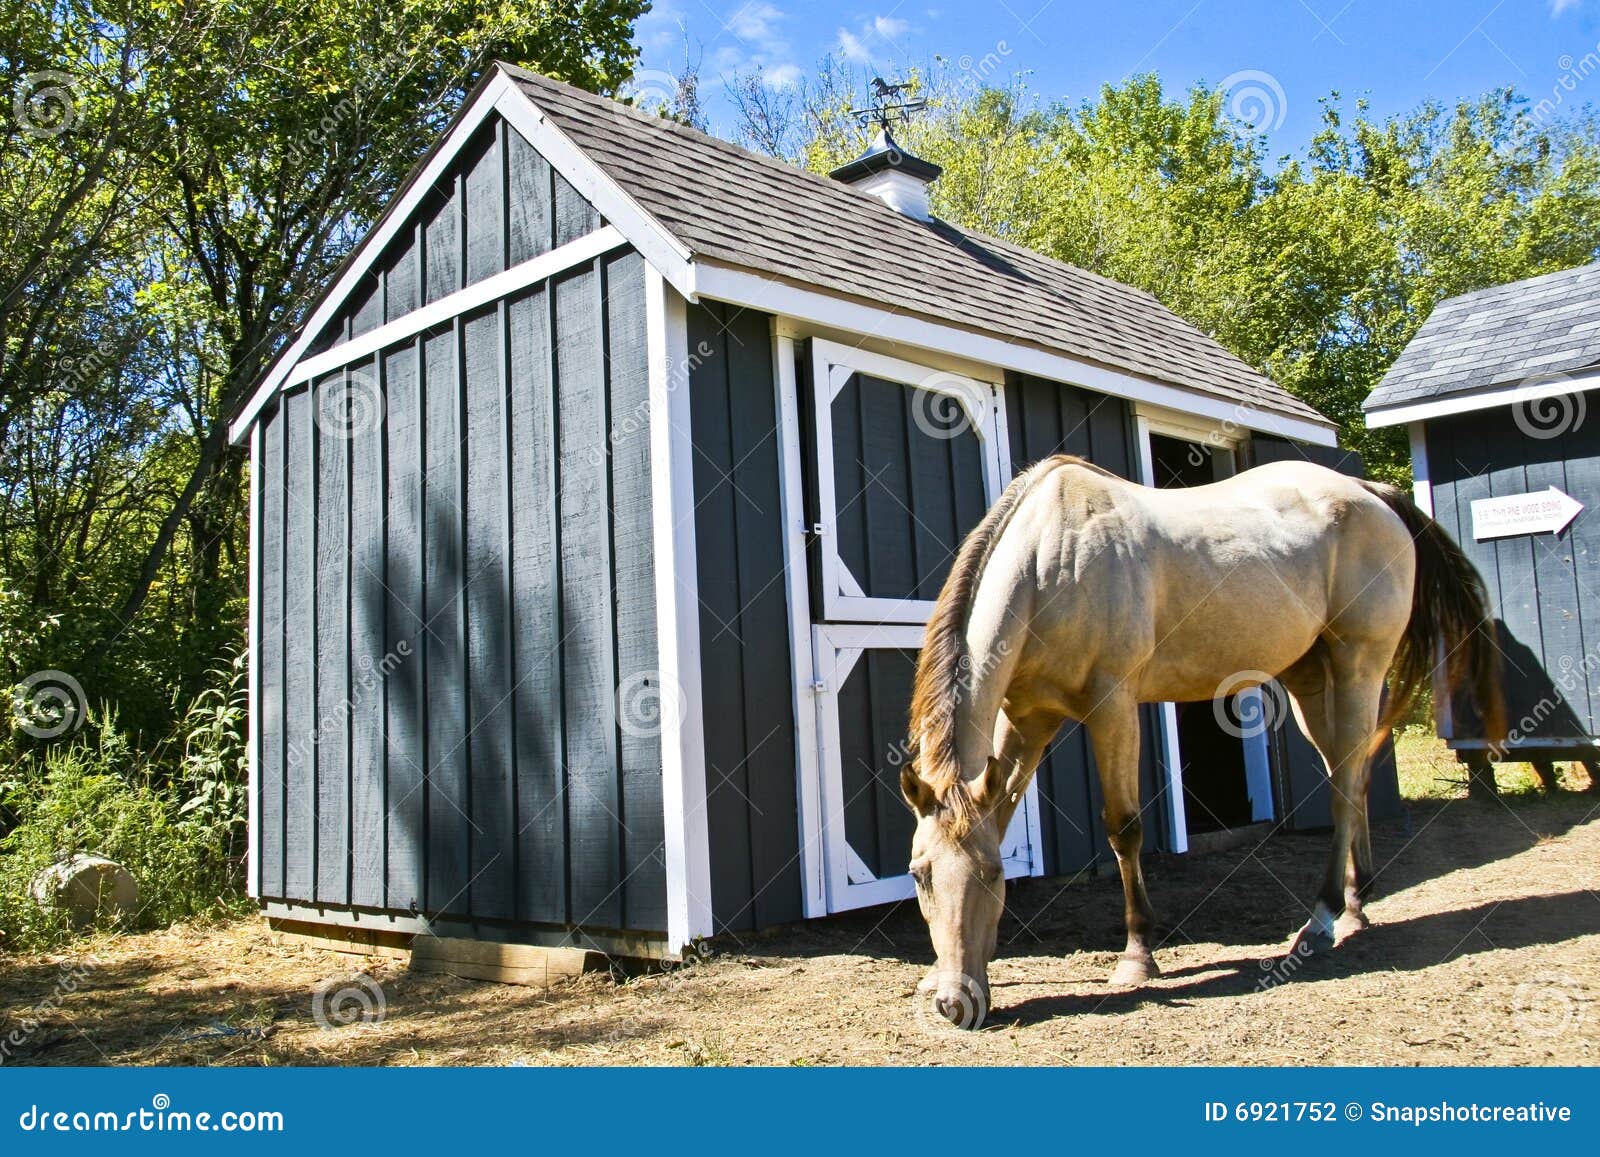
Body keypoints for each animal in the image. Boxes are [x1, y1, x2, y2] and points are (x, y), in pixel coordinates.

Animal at [901, 455, 1503, 1029]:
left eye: (993, 876)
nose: (956, 1003)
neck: (1051, 555)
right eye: (919, 873)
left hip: (1360, 663)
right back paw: (1357, 904)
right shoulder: (1030, 716)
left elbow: (1124, 829)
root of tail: (1369, 493)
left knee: (1345, 785)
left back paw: (1323, 918)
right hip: (1311, 676)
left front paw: (1137, 956)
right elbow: (998, 817)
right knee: (1348, 778)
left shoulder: (1112, 705)